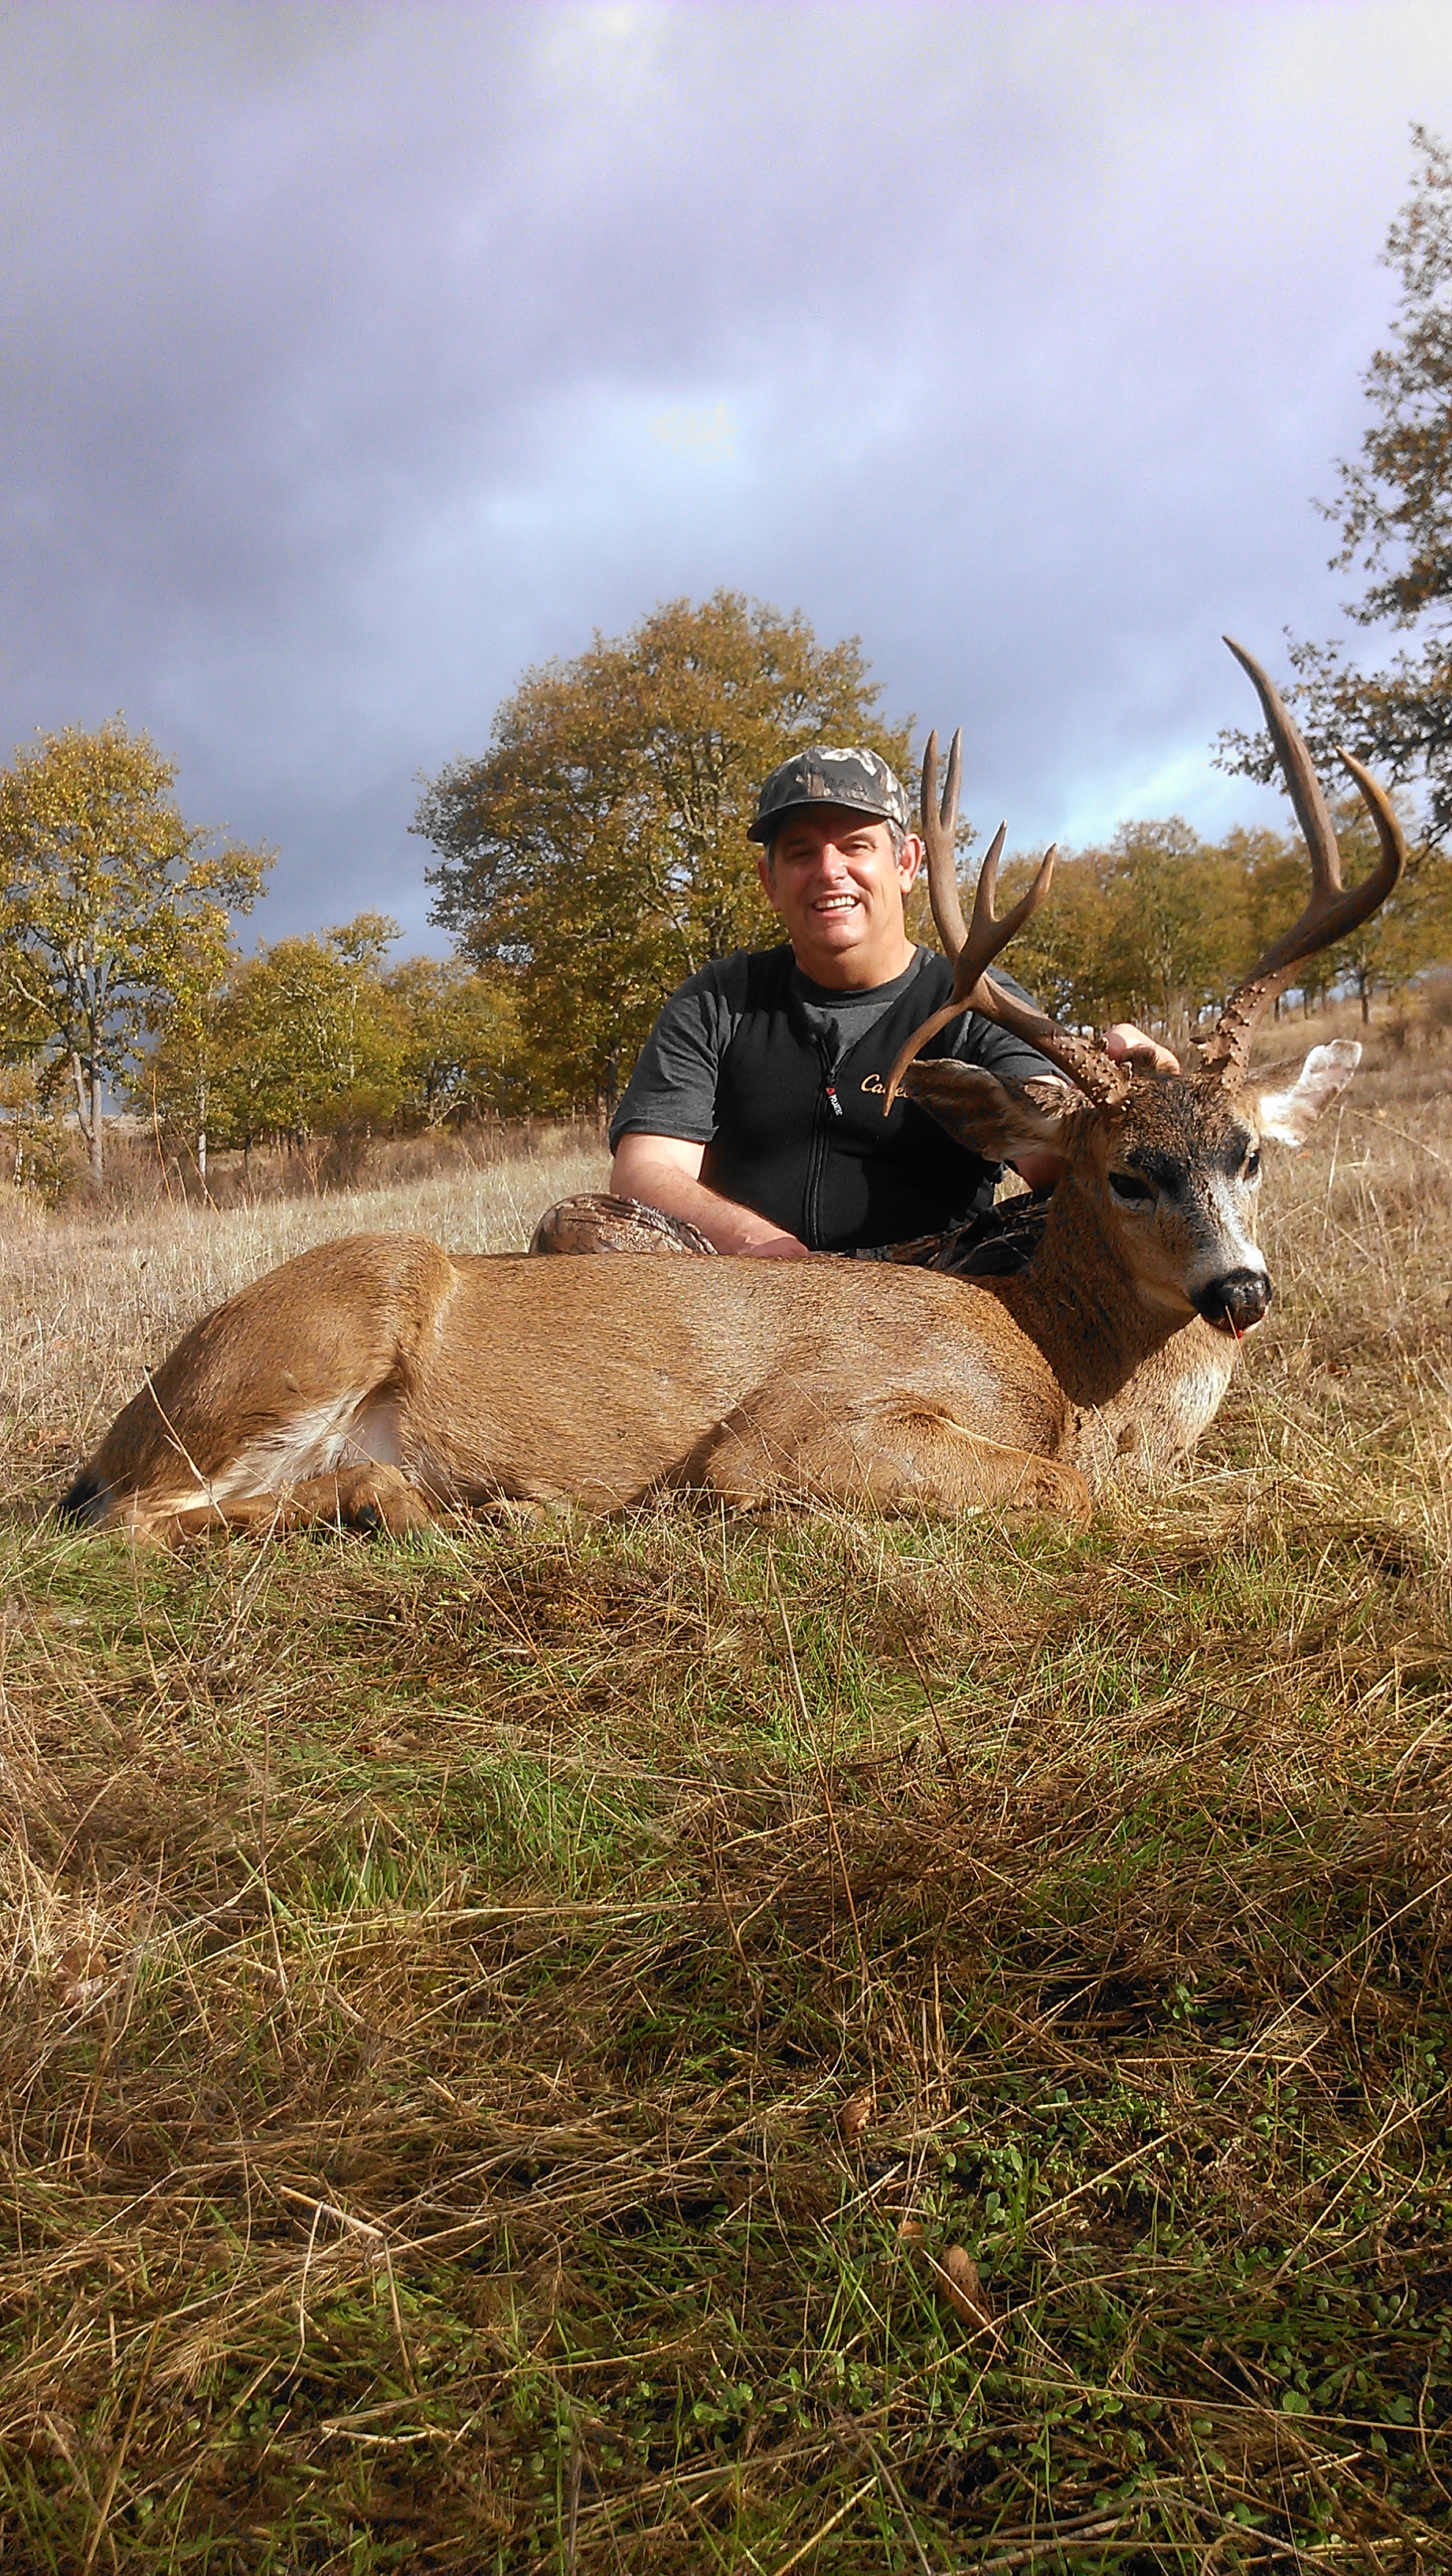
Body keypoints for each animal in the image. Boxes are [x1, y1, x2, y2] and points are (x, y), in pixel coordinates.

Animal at [60, 641, 1402, 1544]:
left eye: (1249, 1152)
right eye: (1125, 1172)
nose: (1240, 1290)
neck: (1059, 1369)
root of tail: (131, 1414)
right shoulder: (802, 1426)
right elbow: (1056, 1492)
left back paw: (457, 1505)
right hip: (333, 1311)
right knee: (127, 1518)